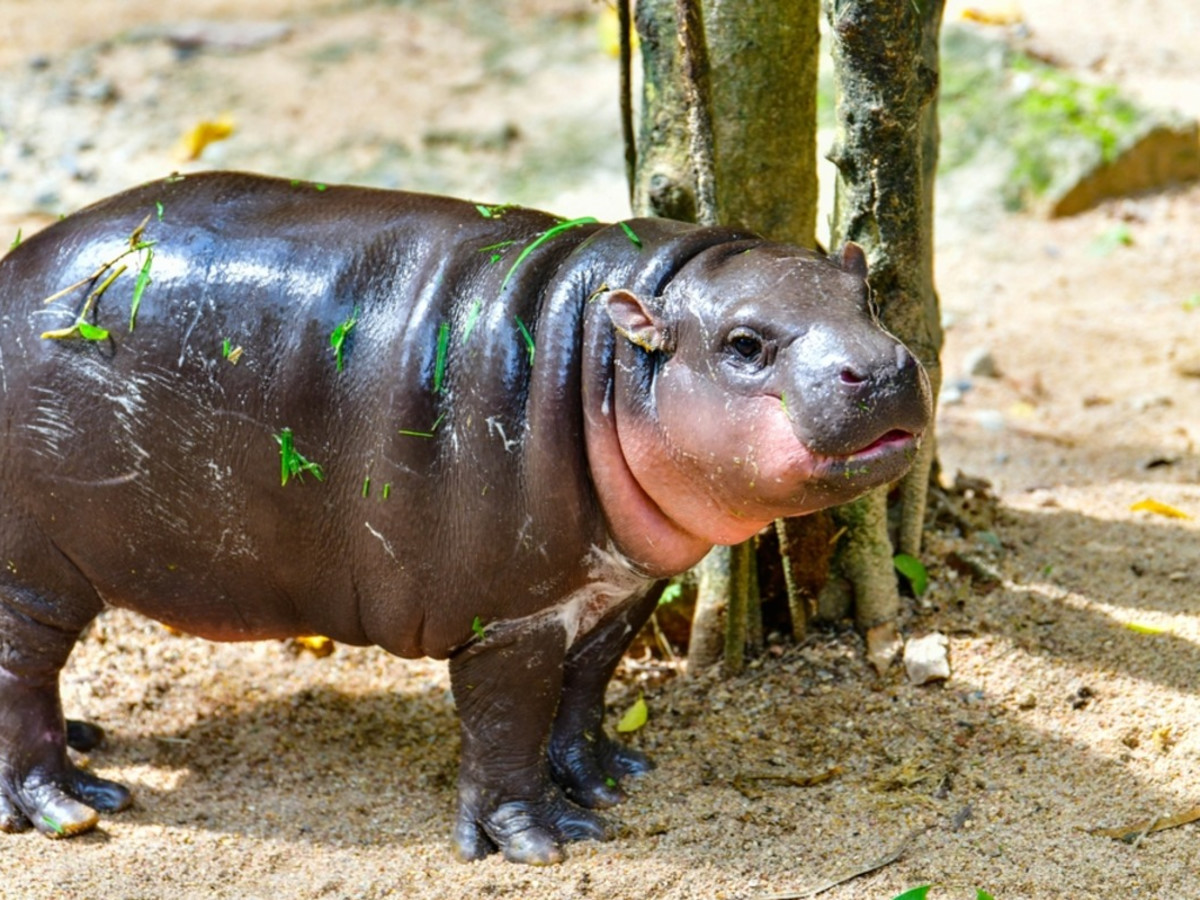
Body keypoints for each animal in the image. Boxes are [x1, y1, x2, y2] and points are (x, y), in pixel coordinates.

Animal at [0, 172, 930, 864]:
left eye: (868, 295)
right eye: (743, 344)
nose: (887, 367)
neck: (602, 356)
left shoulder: (616, 592)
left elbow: (584, 694)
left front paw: (608, 779)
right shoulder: (508, 618)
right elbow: (506, 726)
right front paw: (541, 840)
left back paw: (86, 741)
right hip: (32, 575)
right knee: (21, 678)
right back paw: (71, 804)